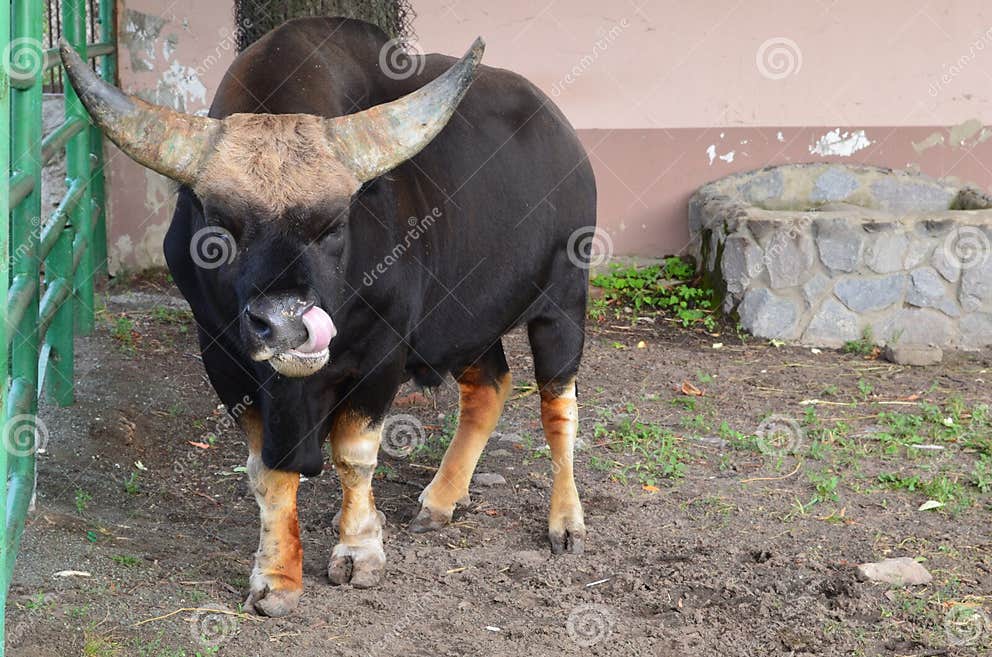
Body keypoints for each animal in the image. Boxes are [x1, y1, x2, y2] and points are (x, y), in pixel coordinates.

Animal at [60, 17, 596, 617]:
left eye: (334, 227)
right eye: (219, 229)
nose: (285, 324)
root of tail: (563, 136)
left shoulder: (381, 356)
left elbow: (354, 455)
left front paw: (360, 550)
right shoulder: (223, 358)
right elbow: (267, 472)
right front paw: (276, 577)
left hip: (562, 304)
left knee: (558, 407)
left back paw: (567, 523)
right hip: (470, 321)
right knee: (489, 387)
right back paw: (440, 500)